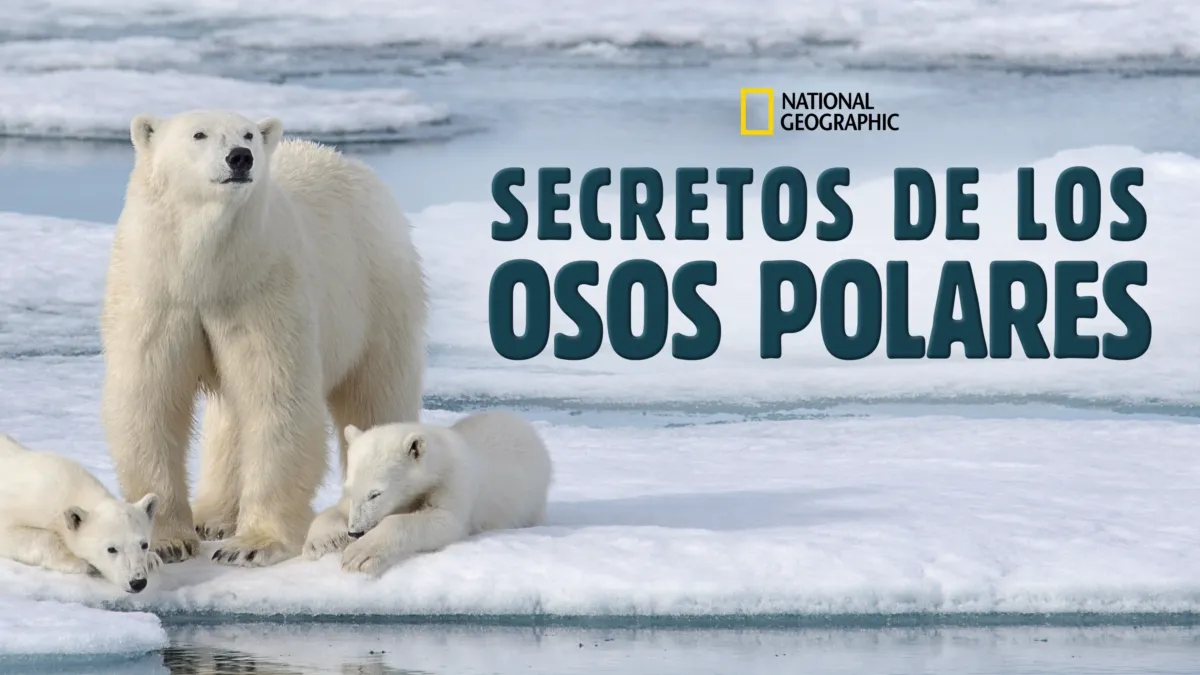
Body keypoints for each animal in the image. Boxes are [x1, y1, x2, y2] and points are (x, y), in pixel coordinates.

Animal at [100, 109, 427, 568]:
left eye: (248, 133)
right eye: (198, 134)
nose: (241, 157)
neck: (206, 272)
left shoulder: (263, 290)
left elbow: (276, 399)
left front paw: (252, 544)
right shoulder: (158, 296)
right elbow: (150, 398)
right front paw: (167, 541)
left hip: (378, 295)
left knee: (374, 394)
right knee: (228, 420)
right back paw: (213, 516)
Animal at [303, 411, 553, 576]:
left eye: (376, 494)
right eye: (349, 489)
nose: (355, 531)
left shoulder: (454, 482)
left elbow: (442, 521)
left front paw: (359, 554)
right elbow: (335, 510)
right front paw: (321, 542)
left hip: (532, 498)